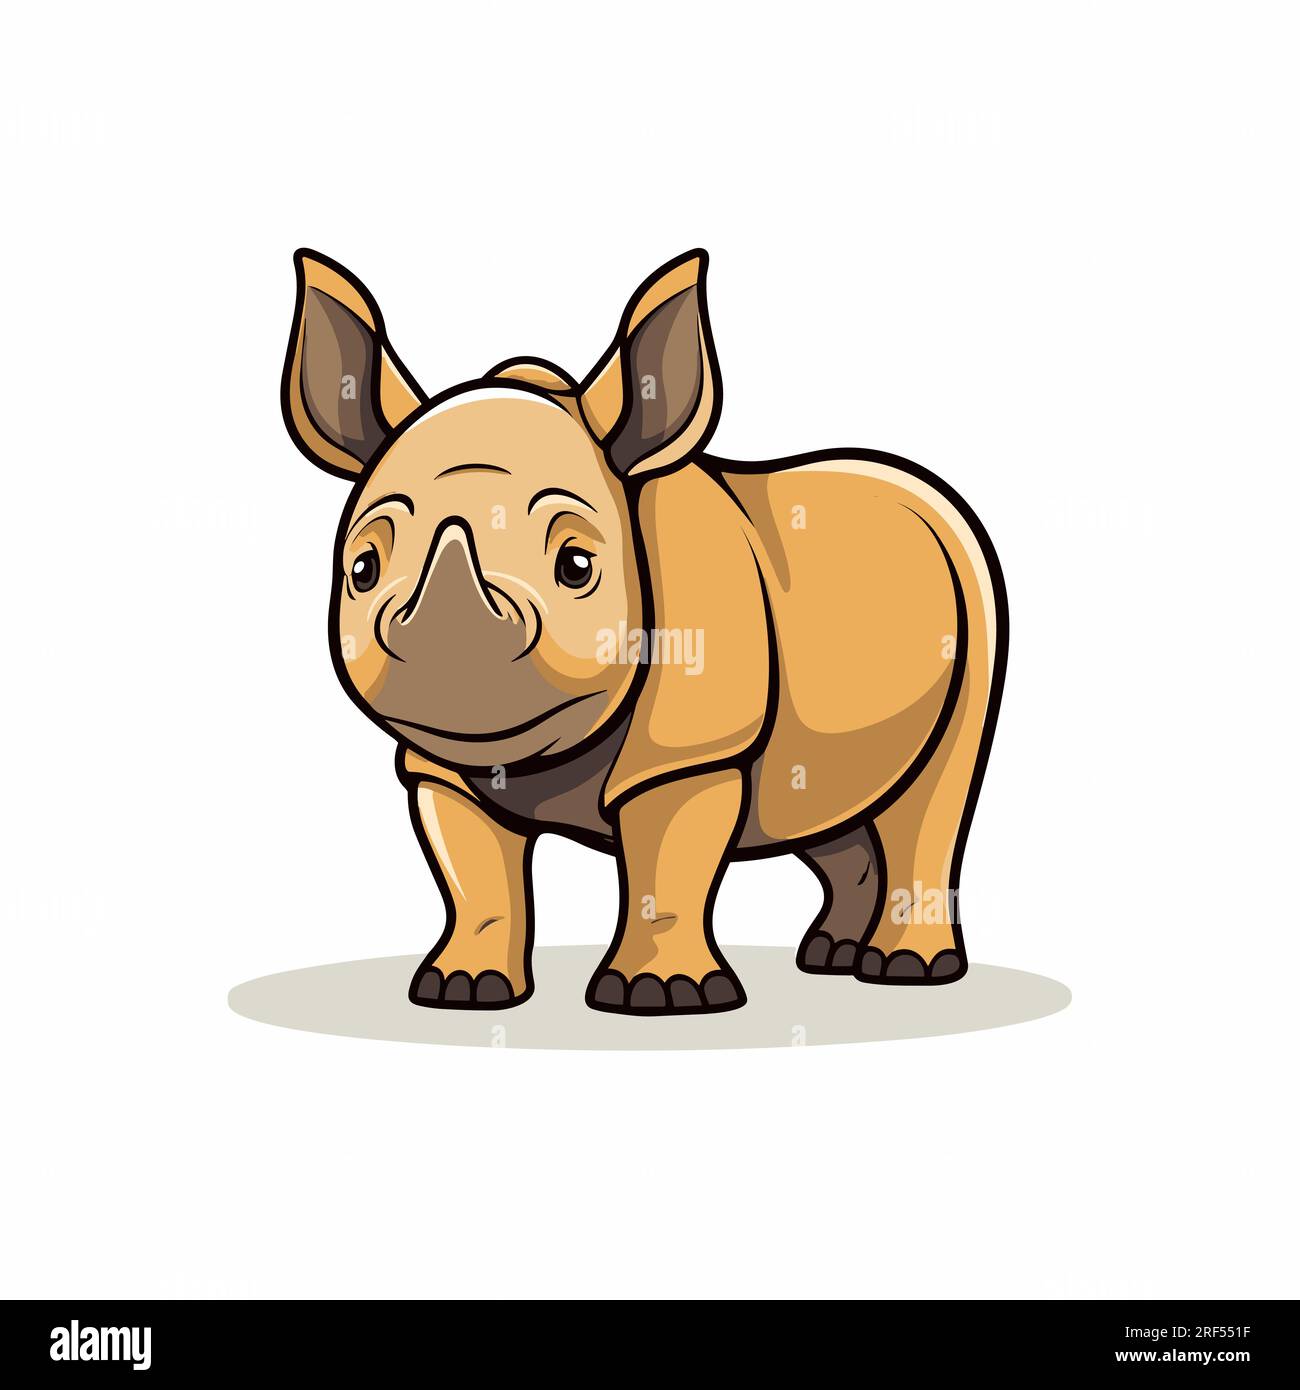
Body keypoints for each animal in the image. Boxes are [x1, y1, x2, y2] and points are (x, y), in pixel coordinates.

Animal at [281, 249, 1008, 1015]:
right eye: (362, 569)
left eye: (577, 566)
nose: (457, 673)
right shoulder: (441, 763)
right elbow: (476, 878)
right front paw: (463, 988)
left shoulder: (692, 748)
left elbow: (667, 862)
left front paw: (661, 995)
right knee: (821, 801)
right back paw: (830, 956)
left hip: (975, 586)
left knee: (935, 795)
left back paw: (905, 970)